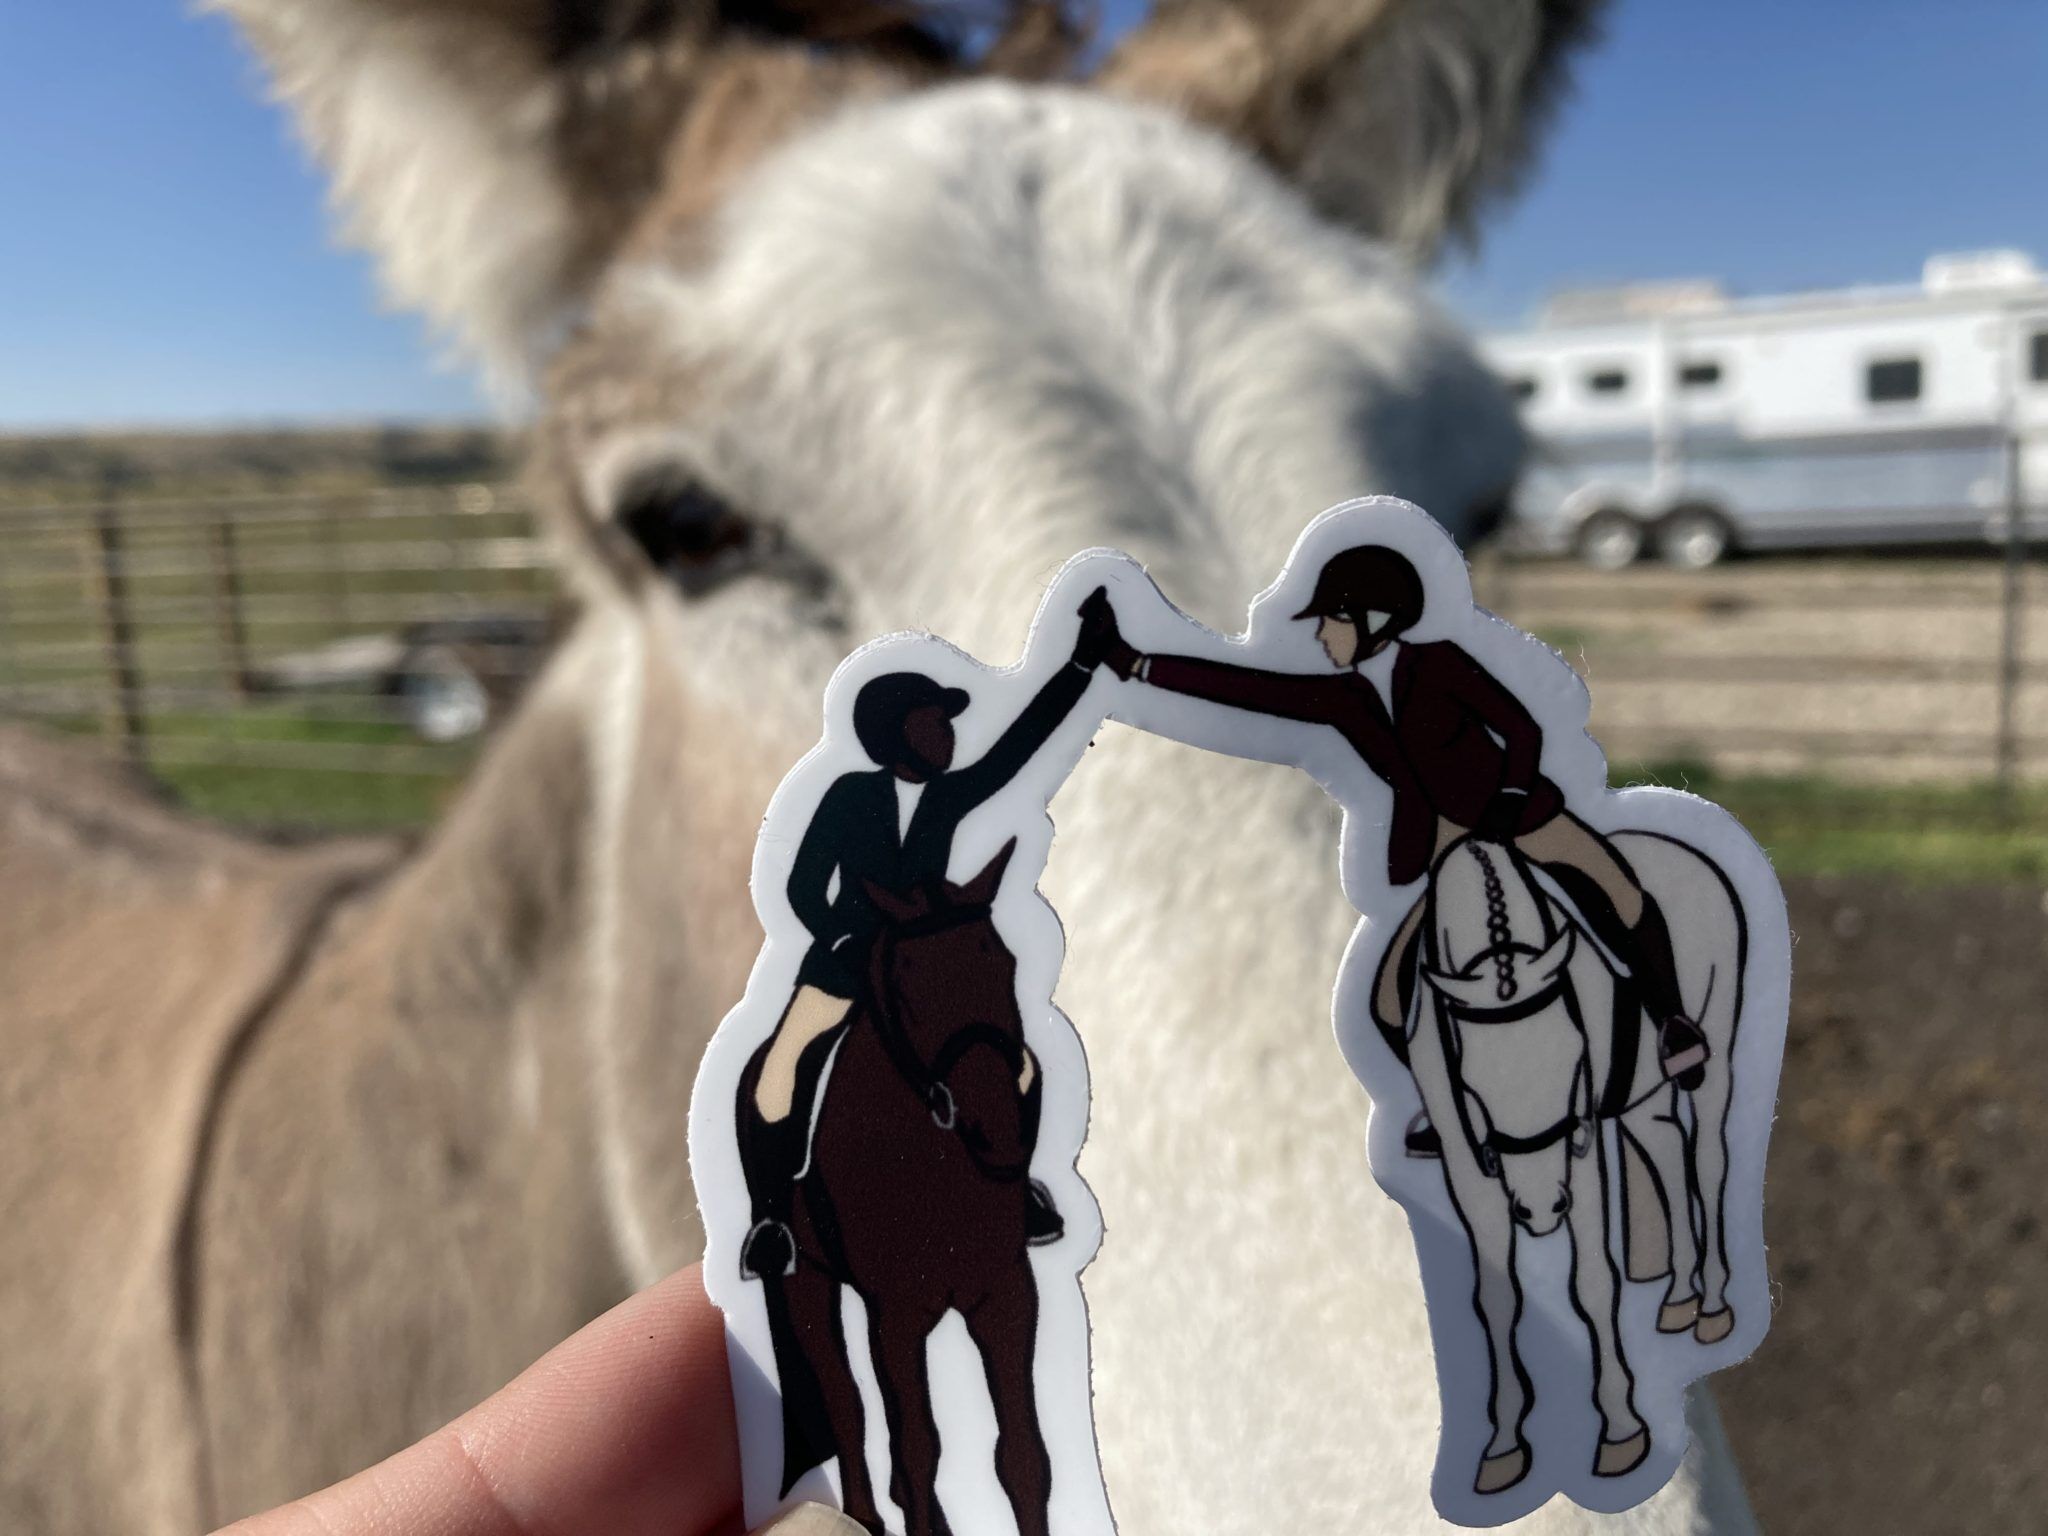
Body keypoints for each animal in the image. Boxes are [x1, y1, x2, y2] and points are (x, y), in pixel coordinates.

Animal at [745, 841, 1051, 1536]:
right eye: (908, 972)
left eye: (1005, 961)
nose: (1000, 1135)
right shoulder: (898, 1314)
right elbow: (917, 1449)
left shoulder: (1008, 1293)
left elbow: (1023, 1456)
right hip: (805, 1282)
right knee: (849, 1406)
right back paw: (864, 1517)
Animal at [1409, 830, 1745, 1497]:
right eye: (1471, 1083)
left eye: (1572, 1062)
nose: (1542, 1208)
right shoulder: (1465, 1161)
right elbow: (1495, 1294)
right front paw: (1504, 1444)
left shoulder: (1582, 1143)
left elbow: (1593, 1281)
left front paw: (1619, 1427)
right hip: (1641, 1097)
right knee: (1668, 1152)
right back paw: (1679, 1297)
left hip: (1714, 1049)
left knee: (1708, 1160)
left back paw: (1713, 1304)